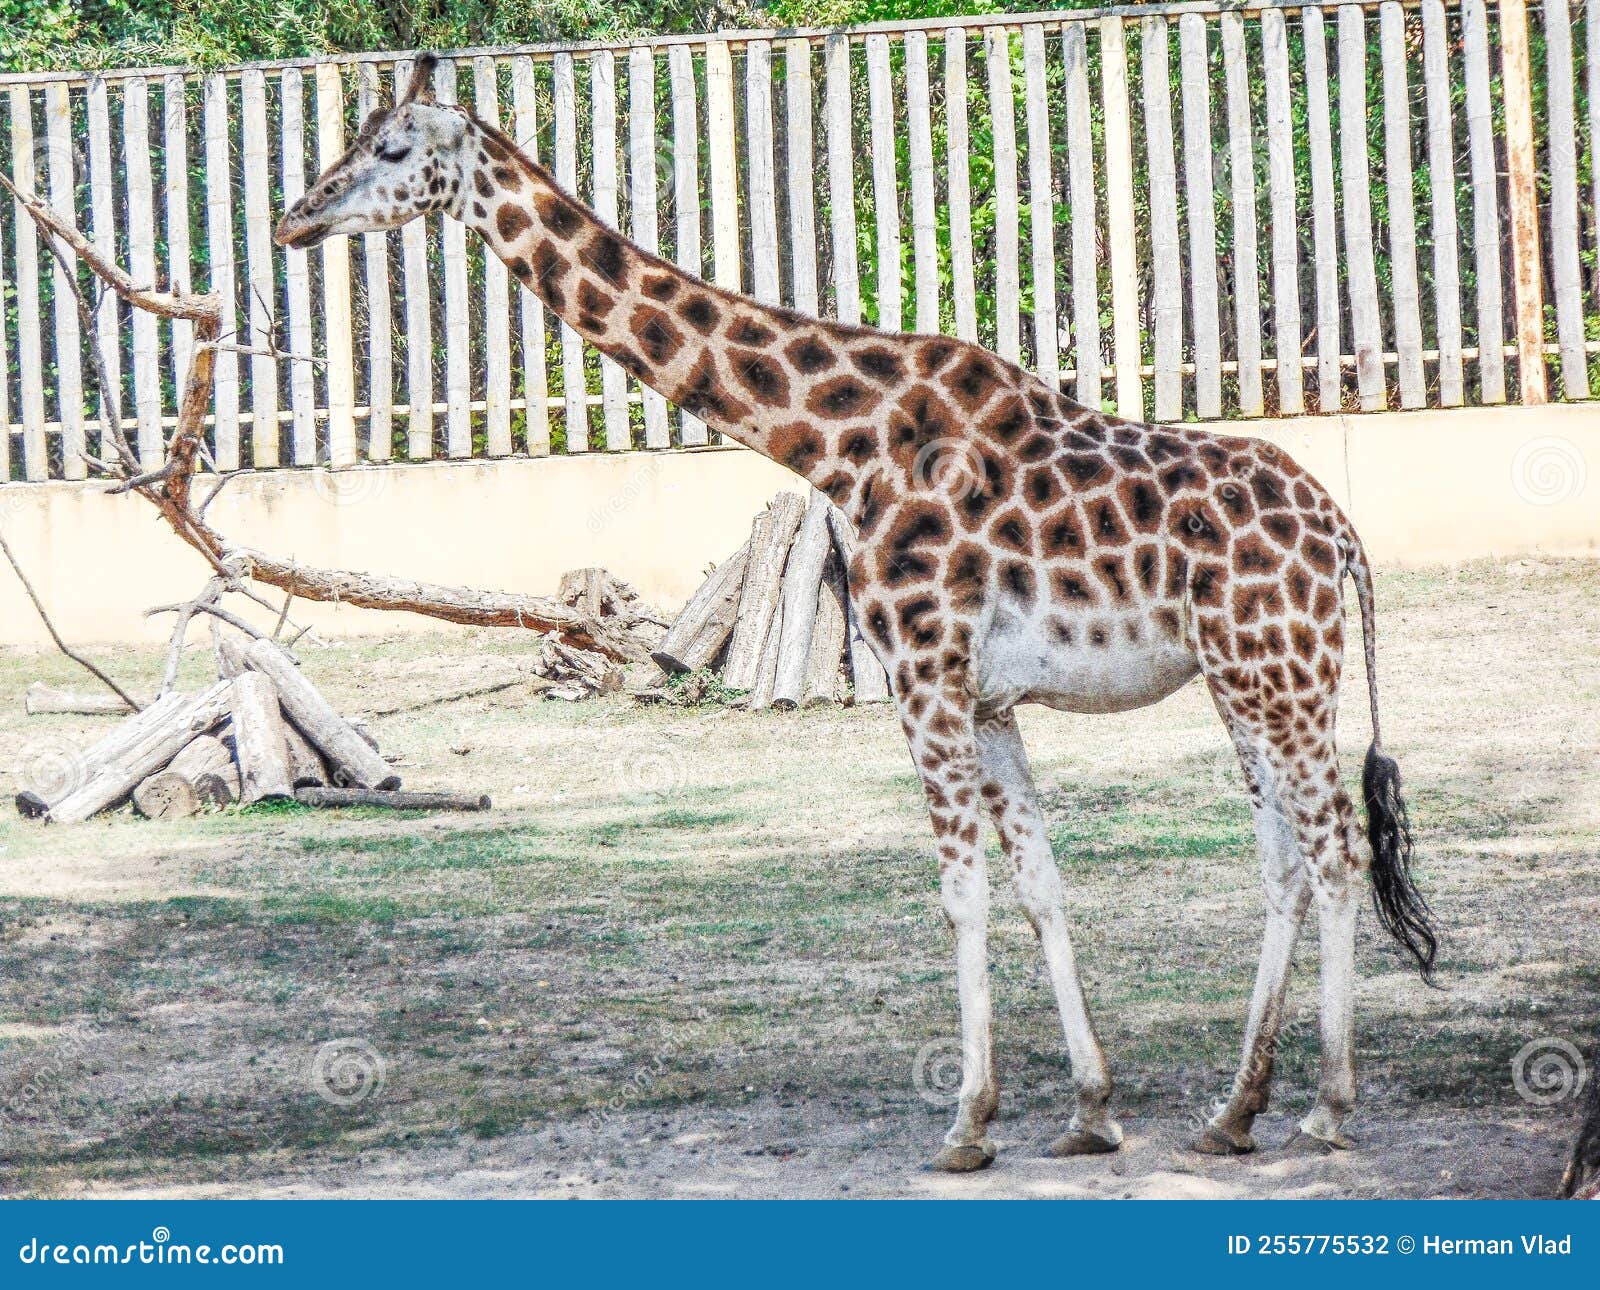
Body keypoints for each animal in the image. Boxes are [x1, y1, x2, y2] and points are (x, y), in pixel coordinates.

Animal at [276, 52, 1438, 1171]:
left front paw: (967, 1124)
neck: (837, 439)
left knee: (1334, 848)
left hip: (1281, 673)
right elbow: (1038, 883)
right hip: (1245, 679)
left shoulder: (924, 673)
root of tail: (1341, 534)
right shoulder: (985, 697)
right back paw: (1233, 1113)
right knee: (1284, 860)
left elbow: (961, 891)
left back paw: (1326, 1110)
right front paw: (1090, 1112)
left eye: (390, 147)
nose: (294, 216)